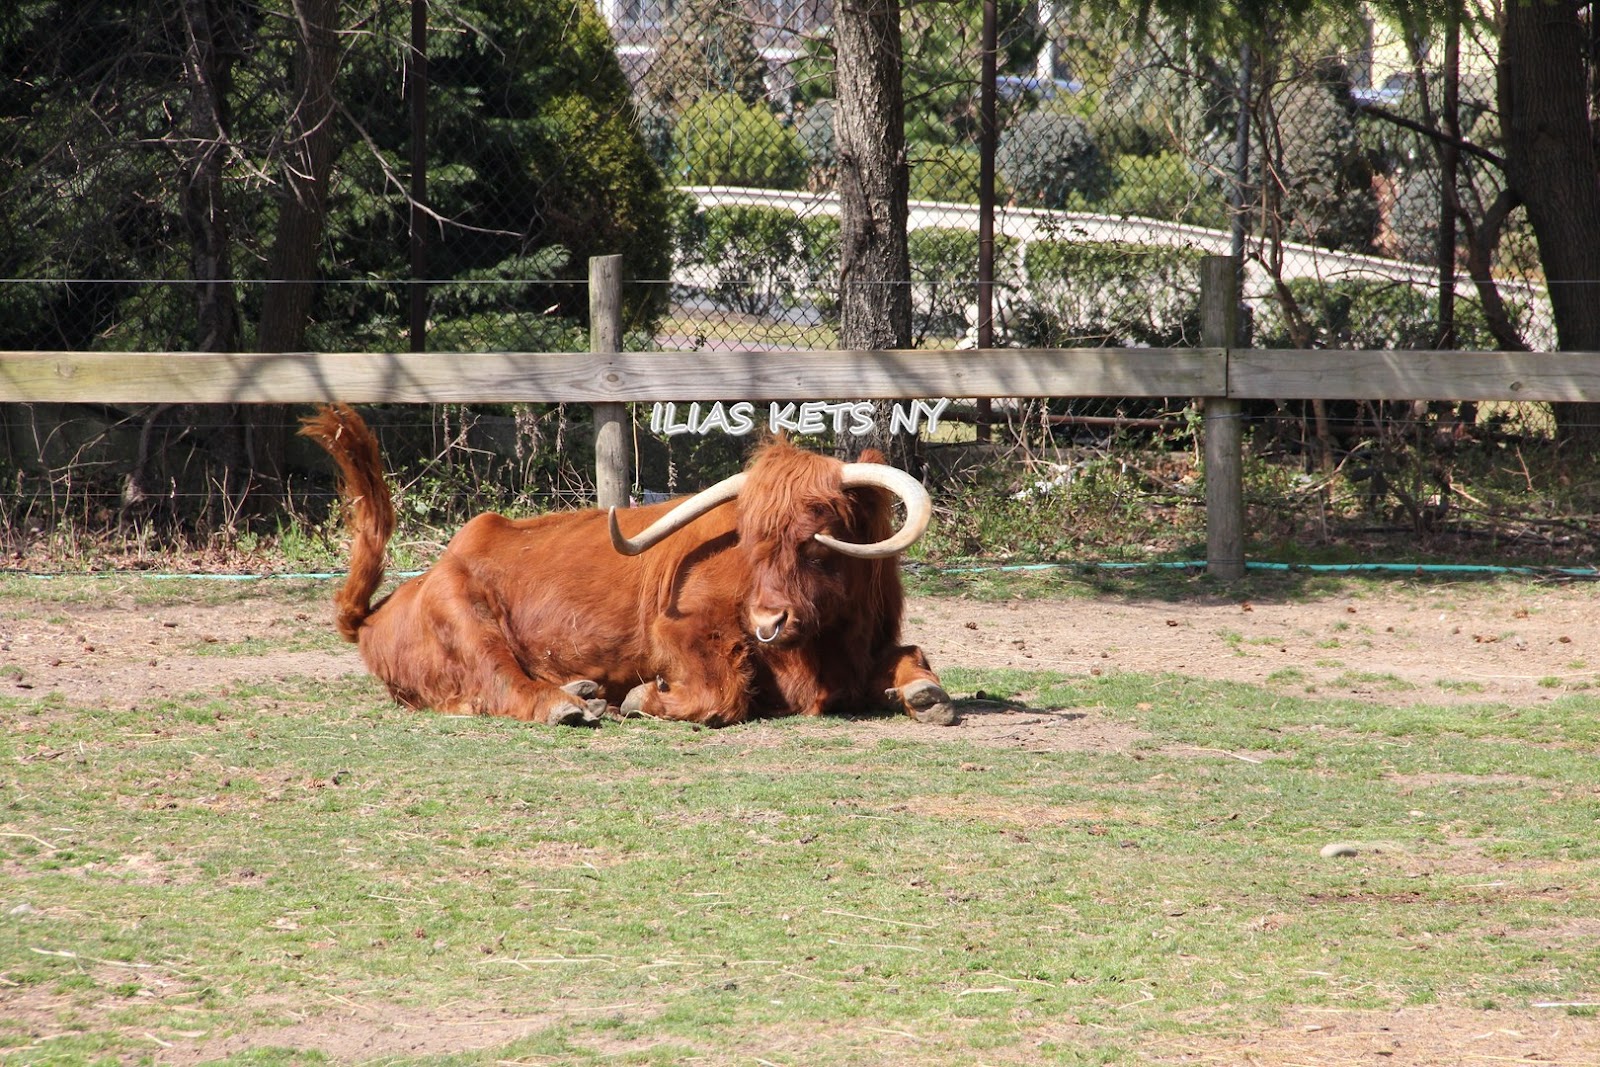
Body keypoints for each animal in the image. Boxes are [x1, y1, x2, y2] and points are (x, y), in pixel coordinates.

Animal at [299, 404, 955, 728]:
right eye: (750, 546)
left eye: (818, 543)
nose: (768, 622)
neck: (826, 644)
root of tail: (382, 608)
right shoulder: (680, 632)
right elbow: (721, 693)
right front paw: (644, 699)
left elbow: (912, 657)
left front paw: (925, 693)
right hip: (463, 613)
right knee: (499, 682)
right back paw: (568, 704)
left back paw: (582, 689)